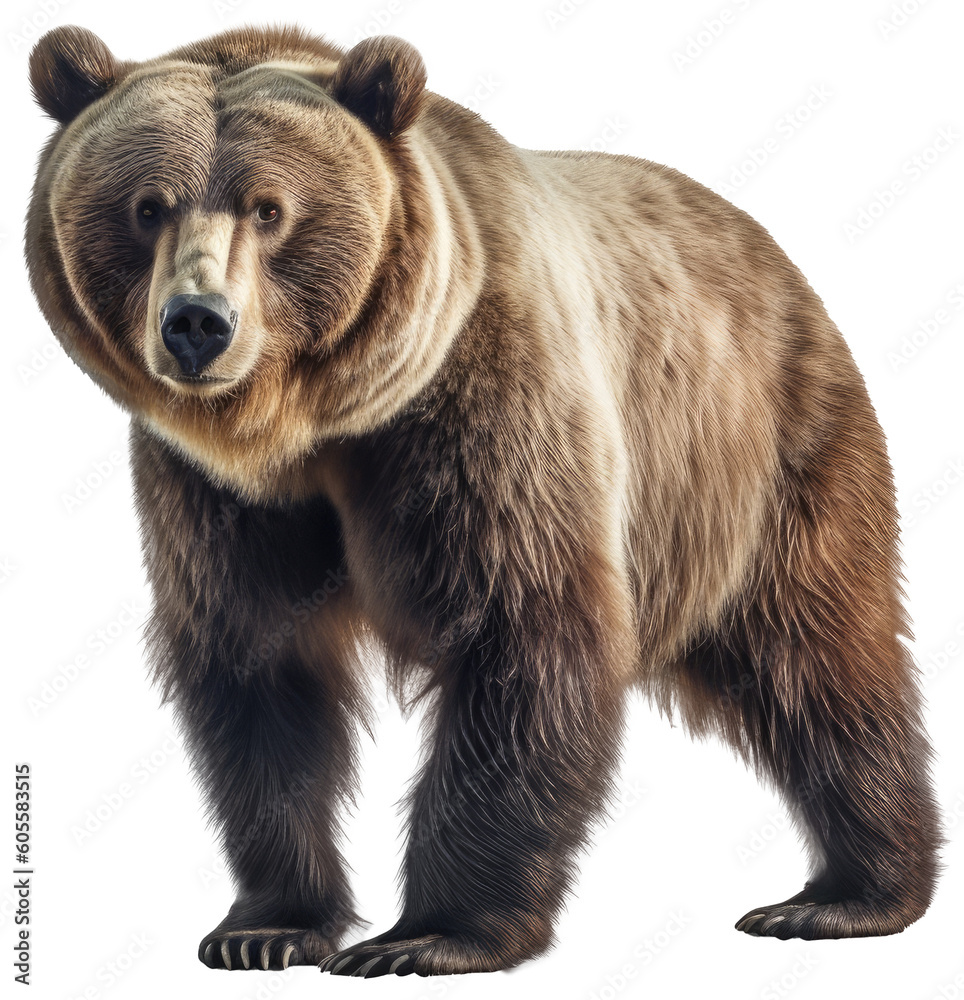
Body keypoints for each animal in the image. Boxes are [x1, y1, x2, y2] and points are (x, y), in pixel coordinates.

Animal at [27, 24, 940, 977]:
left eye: (269, 208)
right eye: (147, 206)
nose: (198, 323)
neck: (311, 428)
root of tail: (764, 242)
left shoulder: (484, 406)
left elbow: (520, 632)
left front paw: (425, 935)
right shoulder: (218, 494)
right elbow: (256, 664)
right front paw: (265, 927)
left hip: (756, 453)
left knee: (819, 655)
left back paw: (846, 896)